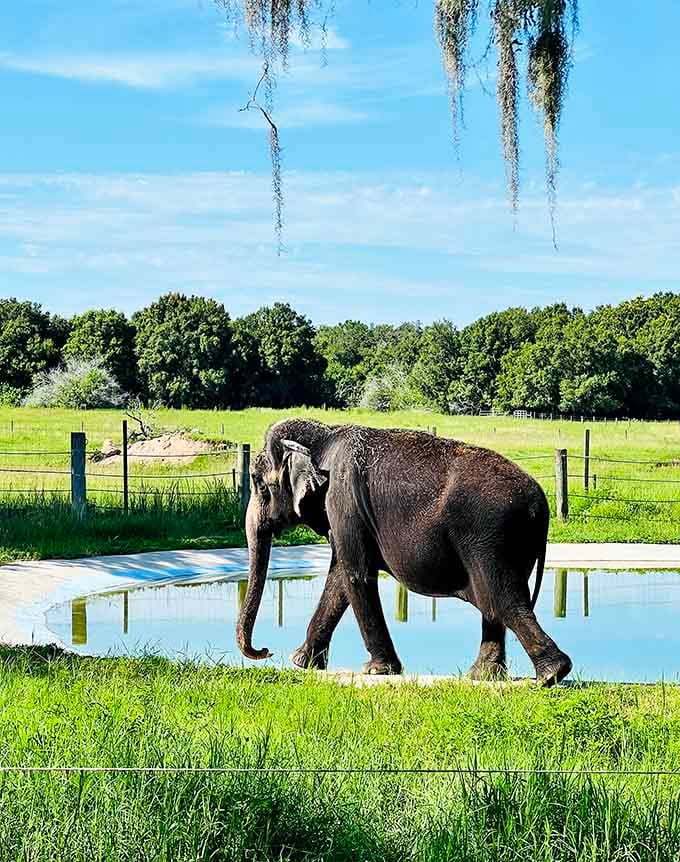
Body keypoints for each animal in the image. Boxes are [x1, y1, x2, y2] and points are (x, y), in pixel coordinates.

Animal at [236, 418, 572, 687]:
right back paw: (484, 676)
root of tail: (540, 505)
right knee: (495, 606)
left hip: (490, 541)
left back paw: (549, 675)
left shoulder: (343, 500)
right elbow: (339, 579)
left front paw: (377, 671)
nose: (266, 650)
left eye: (258, 484)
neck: (324, 435)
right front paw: (302, 663)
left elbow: (356, 574)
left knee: (503, 601)